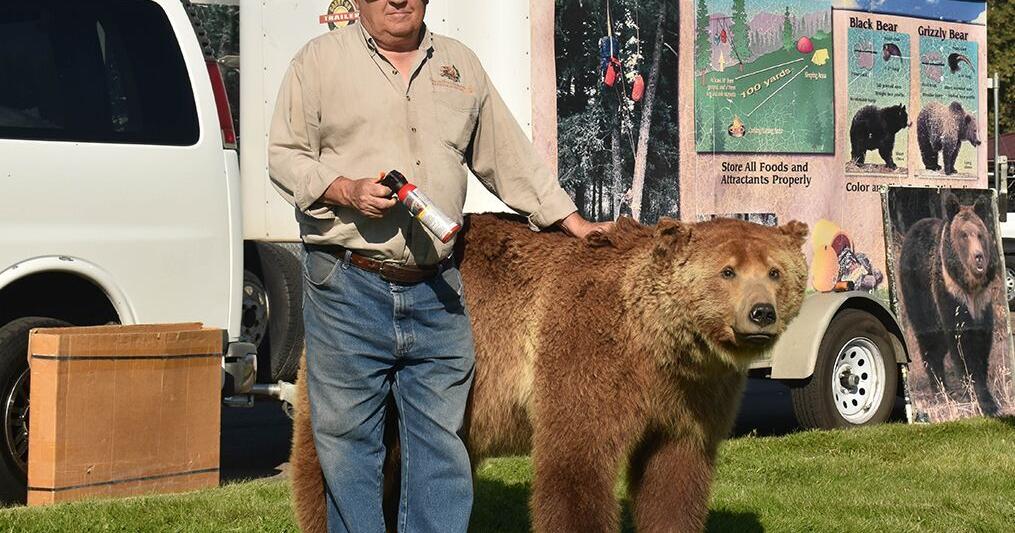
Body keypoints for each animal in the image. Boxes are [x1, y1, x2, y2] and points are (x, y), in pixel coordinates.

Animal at [290, 213, 809, 533]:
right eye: (727, 271)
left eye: (776, 272)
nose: (761, 313)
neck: (656, 342)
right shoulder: (589, 354)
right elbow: (575, 463)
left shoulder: (695, 396)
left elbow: (675, 475)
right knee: (340, 445)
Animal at [899, 192, 1000, 415]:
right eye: (964, 234)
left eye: (980, 234)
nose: (979, 257)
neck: (970, 286)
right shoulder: (950, 293)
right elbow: (962, 343)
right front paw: (981, 397)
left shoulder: (982, 300)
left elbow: (982, 340)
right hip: (919, 294)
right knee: (929, 341)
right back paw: (939, 387)